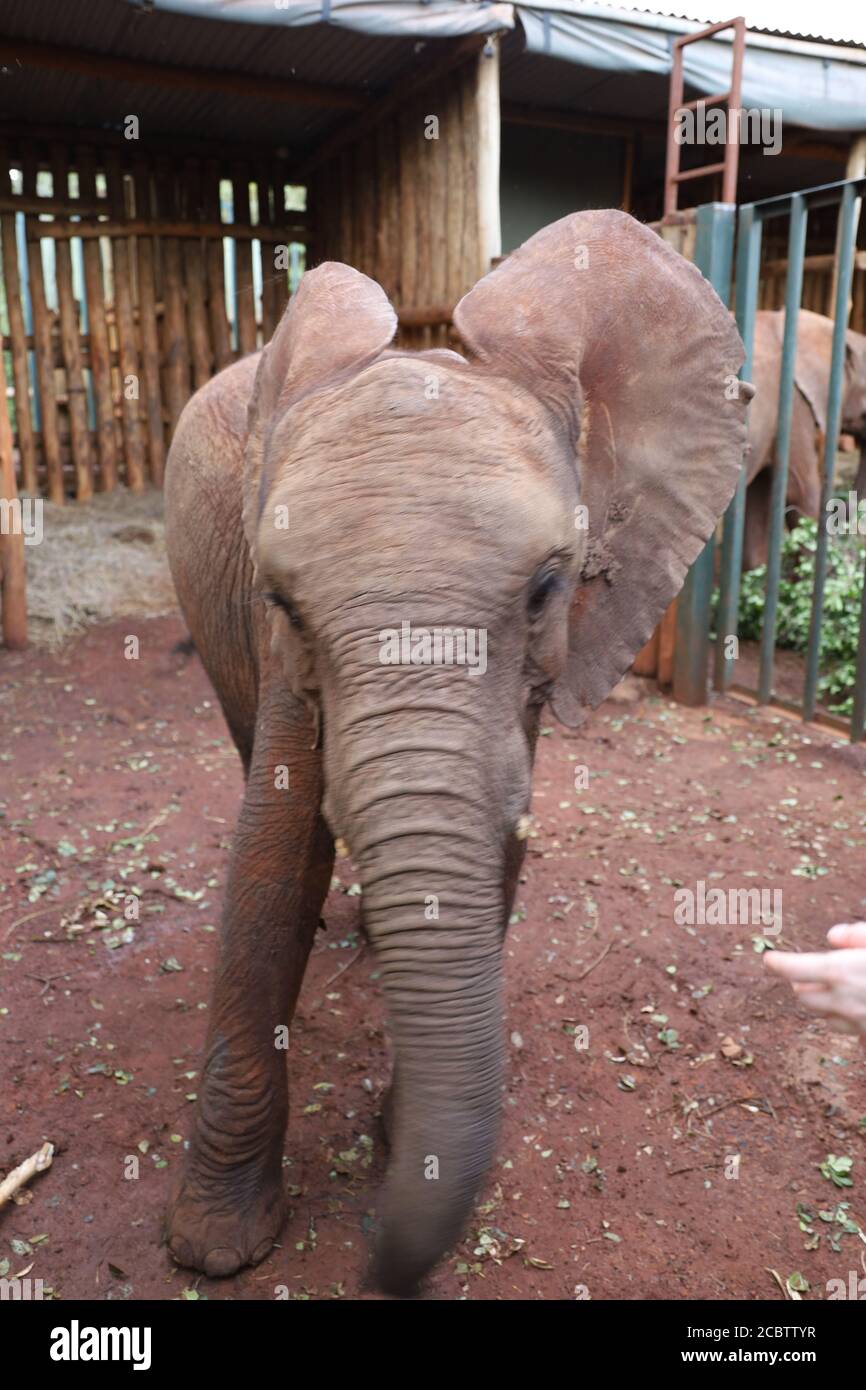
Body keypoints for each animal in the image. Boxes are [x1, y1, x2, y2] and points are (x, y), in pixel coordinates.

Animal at [162, 209, 750, 1296]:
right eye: (282, 600)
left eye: (547, 587)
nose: (377, 1259)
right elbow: (270, 855)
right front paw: (215, 1248)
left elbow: (498, 831)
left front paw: (401, 1147)